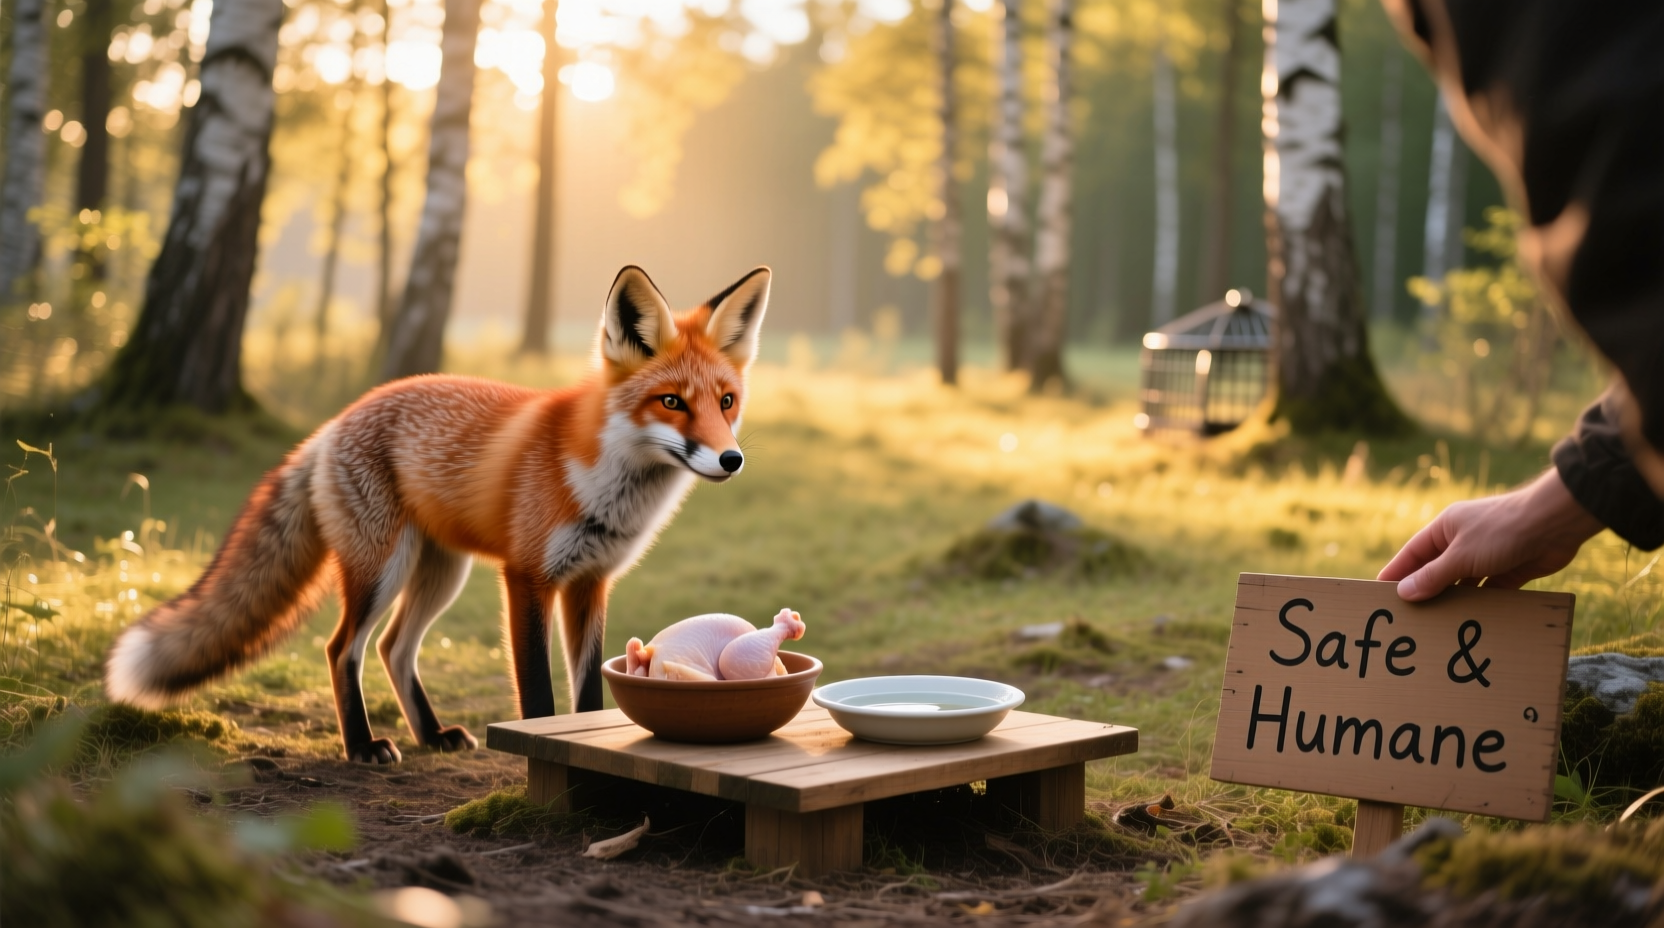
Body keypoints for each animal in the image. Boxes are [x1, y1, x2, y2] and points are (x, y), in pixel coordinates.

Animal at [105, 265, 770, 763]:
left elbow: (585, 697)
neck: (606, 486)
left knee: (393, 648)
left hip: (440, 574)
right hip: (383, 570)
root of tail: (333, 423)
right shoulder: (528, 576)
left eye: (726, 401)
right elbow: (538, 693)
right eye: (672, 402)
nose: (731, 458)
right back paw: (363, 747)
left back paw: (430, 734)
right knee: (343, 649)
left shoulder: (591, 581)